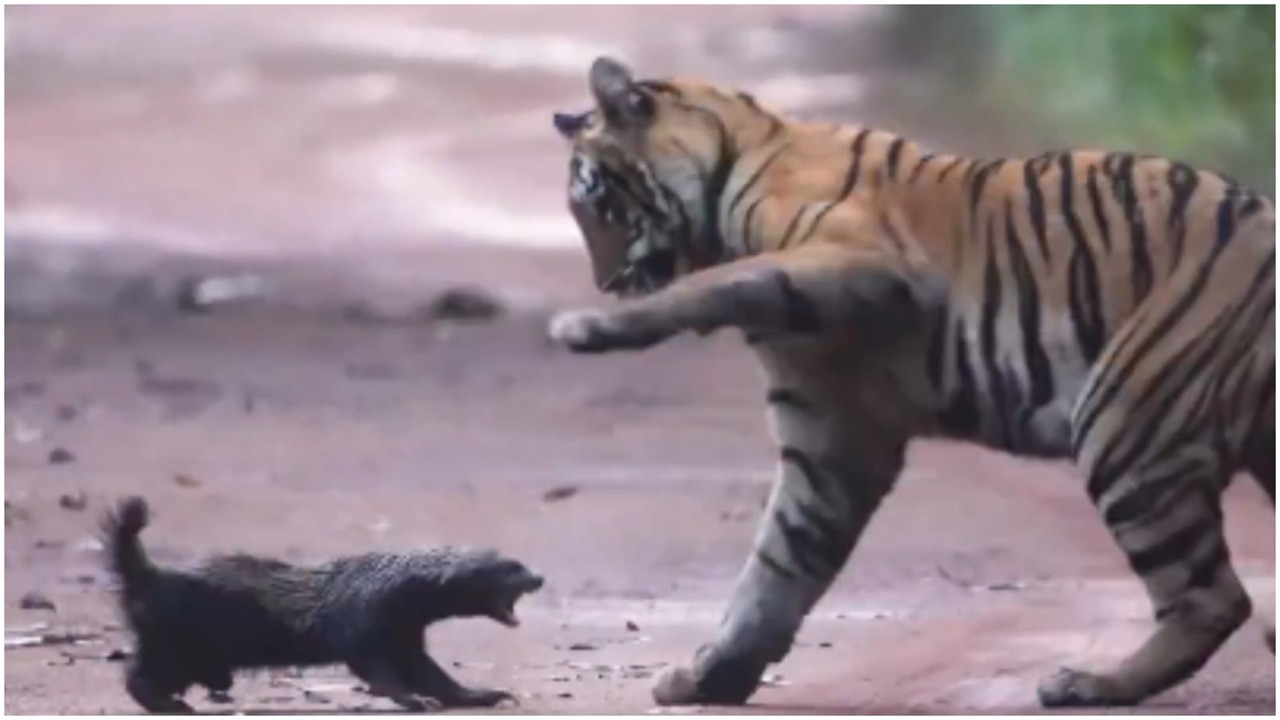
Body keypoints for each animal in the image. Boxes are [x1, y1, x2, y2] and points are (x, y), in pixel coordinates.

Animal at [544, 57, 1276, 709]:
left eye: (598, 203)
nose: (606, 282)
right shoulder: (831, 432)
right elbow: (780, 561)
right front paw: (712, 676)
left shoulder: (863, 260)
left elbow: (708, 287)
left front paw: (588, 326)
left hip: (1125, 420)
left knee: (1213, 598)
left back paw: (1092, 685)